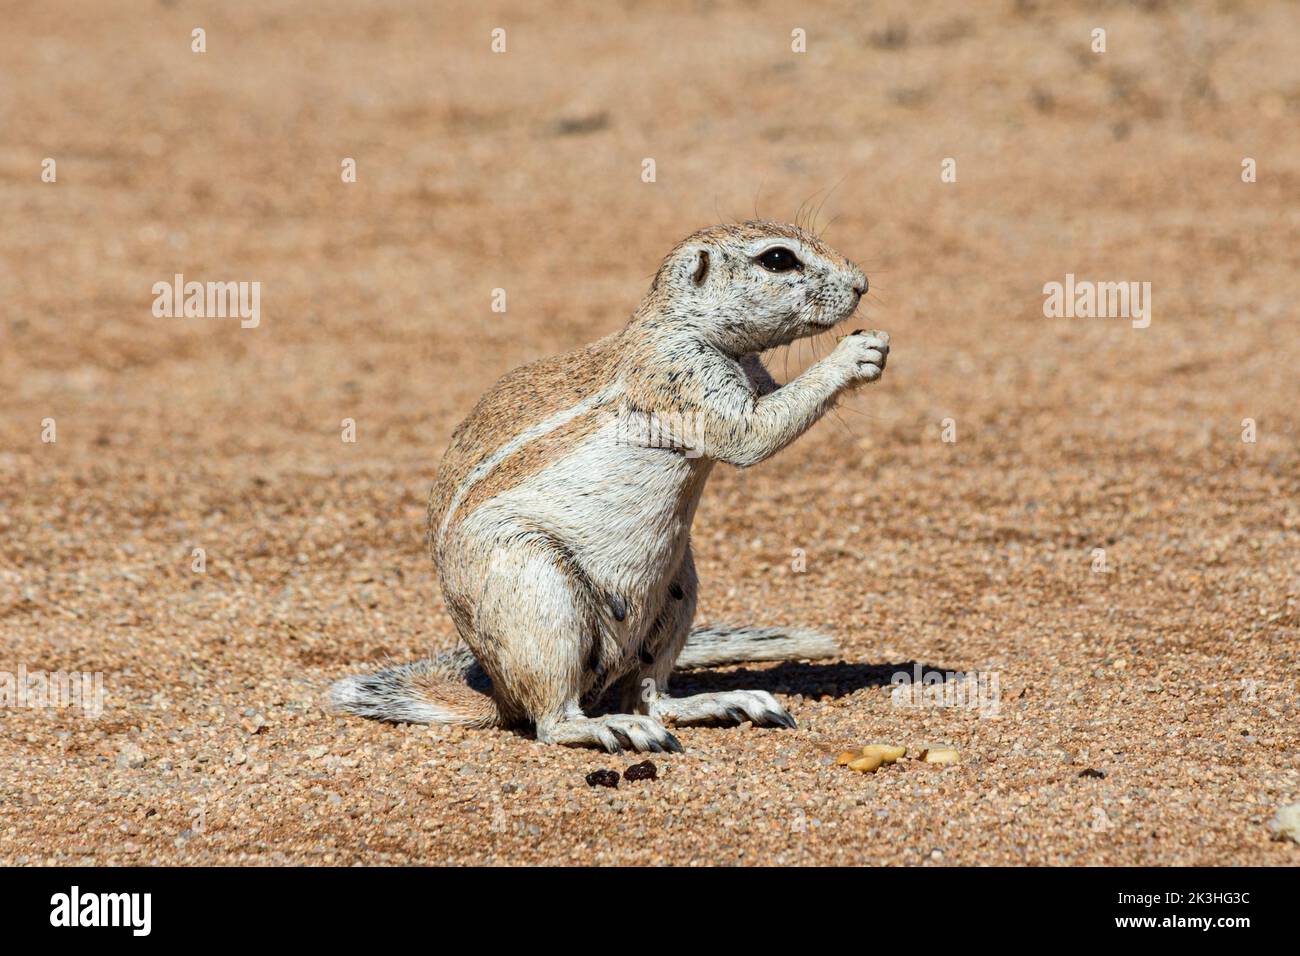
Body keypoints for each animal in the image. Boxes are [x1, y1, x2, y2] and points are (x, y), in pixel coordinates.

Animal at [332, 220, 890, 753]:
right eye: (778, 259)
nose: (863, 284)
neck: (683, 325)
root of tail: (498, 692)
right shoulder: (679, 374)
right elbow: (752, 434)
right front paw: (855, 353)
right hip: (539, 591)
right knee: (554, 719)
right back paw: (611, 729)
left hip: (678, 590)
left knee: (650, 695)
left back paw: (720, 702)